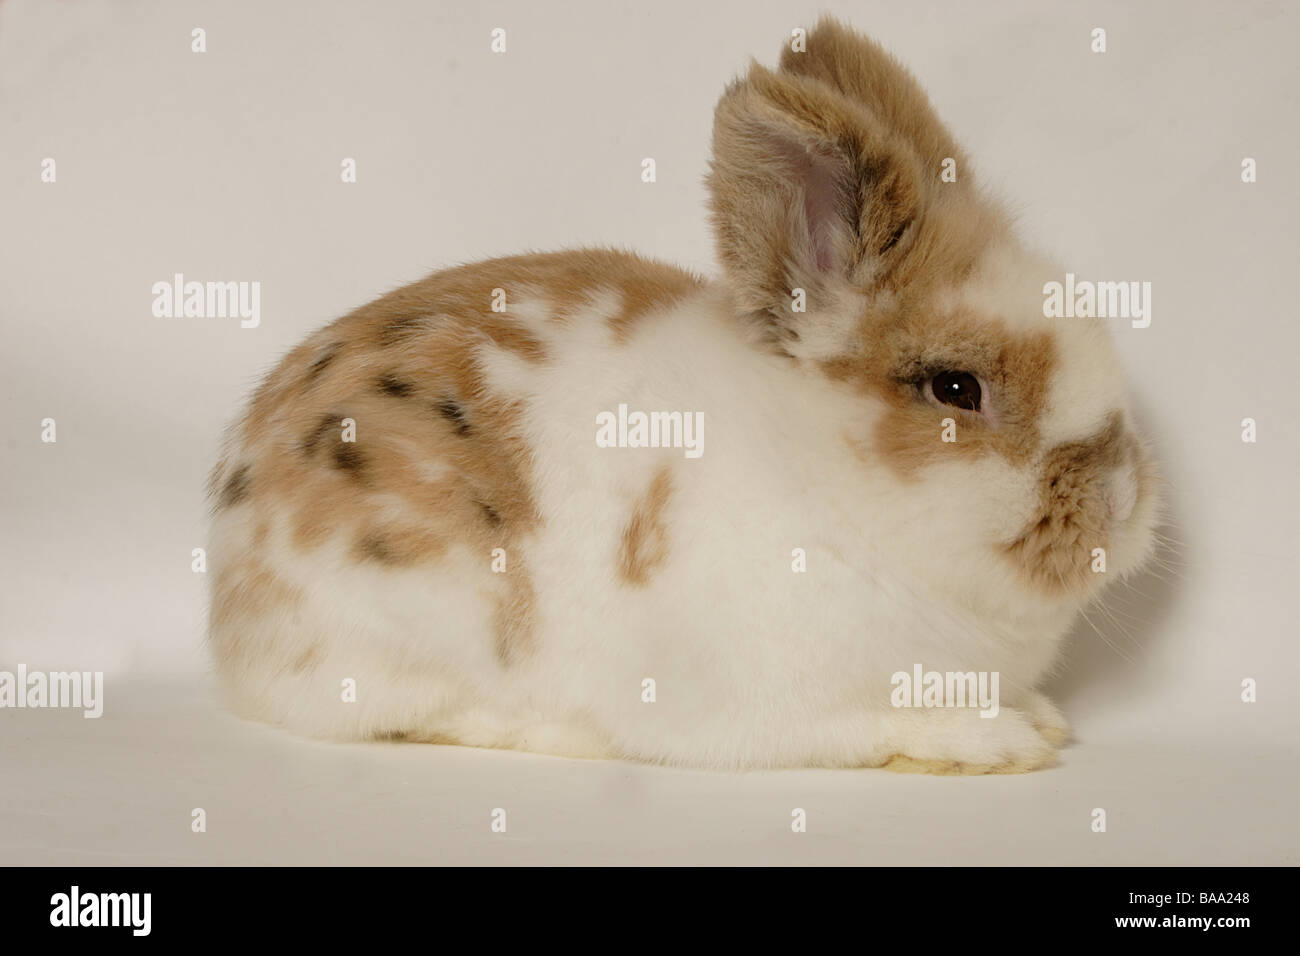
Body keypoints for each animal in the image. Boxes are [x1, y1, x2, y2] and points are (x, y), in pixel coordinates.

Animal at [207, 18, 1160, 773]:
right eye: (956, 388)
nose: (1123, 498)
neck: (829, 481)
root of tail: (228, 607)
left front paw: (1041, 717)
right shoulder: (777, 702)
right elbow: (879, 723)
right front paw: (1000, 741)